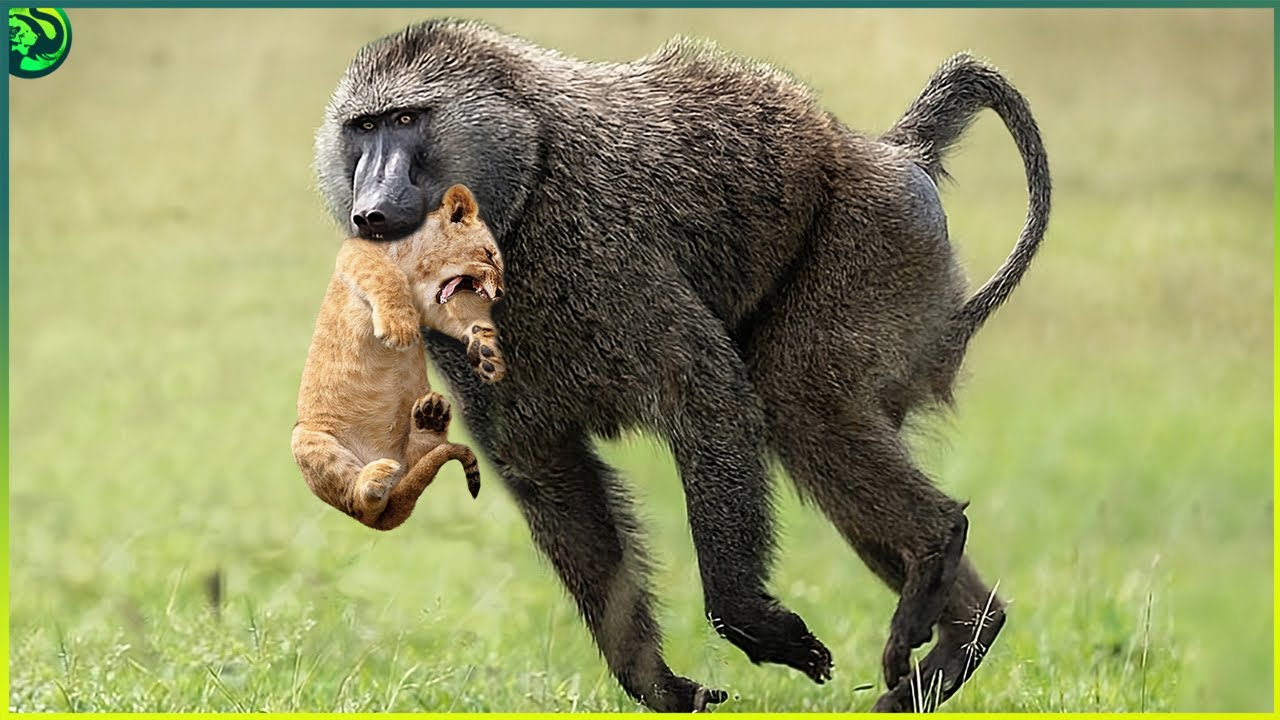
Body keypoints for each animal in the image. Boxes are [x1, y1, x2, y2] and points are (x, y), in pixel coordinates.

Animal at [292, 184, 505, 531]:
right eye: (488, 255)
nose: (500, 292)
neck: (419, 272)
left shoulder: (435, 307)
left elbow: (469, 322)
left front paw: (488, 355)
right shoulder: (356, 251)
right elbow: (385, 275)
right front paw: (400, 328)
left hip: (410, 459)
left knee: (419, 463)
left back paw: (430, 418)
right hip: (307, 440)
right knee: (361, 505)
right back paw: (374, 481)